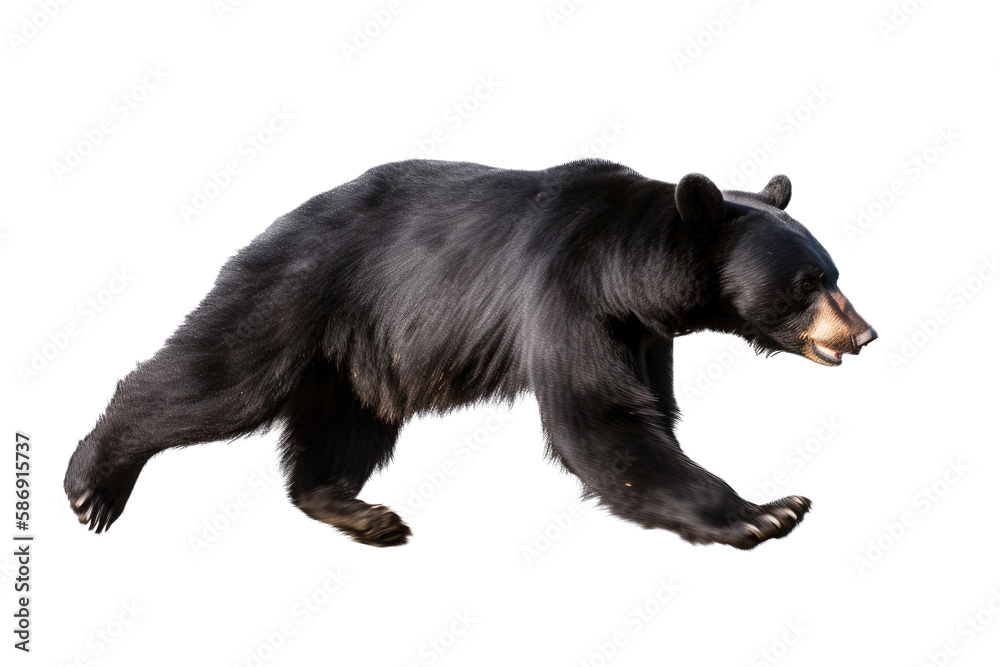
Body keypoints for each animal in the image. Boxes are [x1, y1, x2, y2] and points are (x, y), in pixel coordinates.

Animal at [64, 159, 877, 549]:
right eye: (809, 283)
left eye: (834, 273)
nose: (863, 333)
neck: (631, 272)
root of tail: (273, 222)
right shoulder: (568, 296)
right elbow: (600, 421)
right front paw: (764, 512)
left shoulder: (644, 333)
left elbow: (647, 411)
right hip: (297, 292)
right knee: (219, 376)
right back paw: (93, 482)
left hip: (360, 350)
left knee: (346, 426)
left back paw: (359, 511)